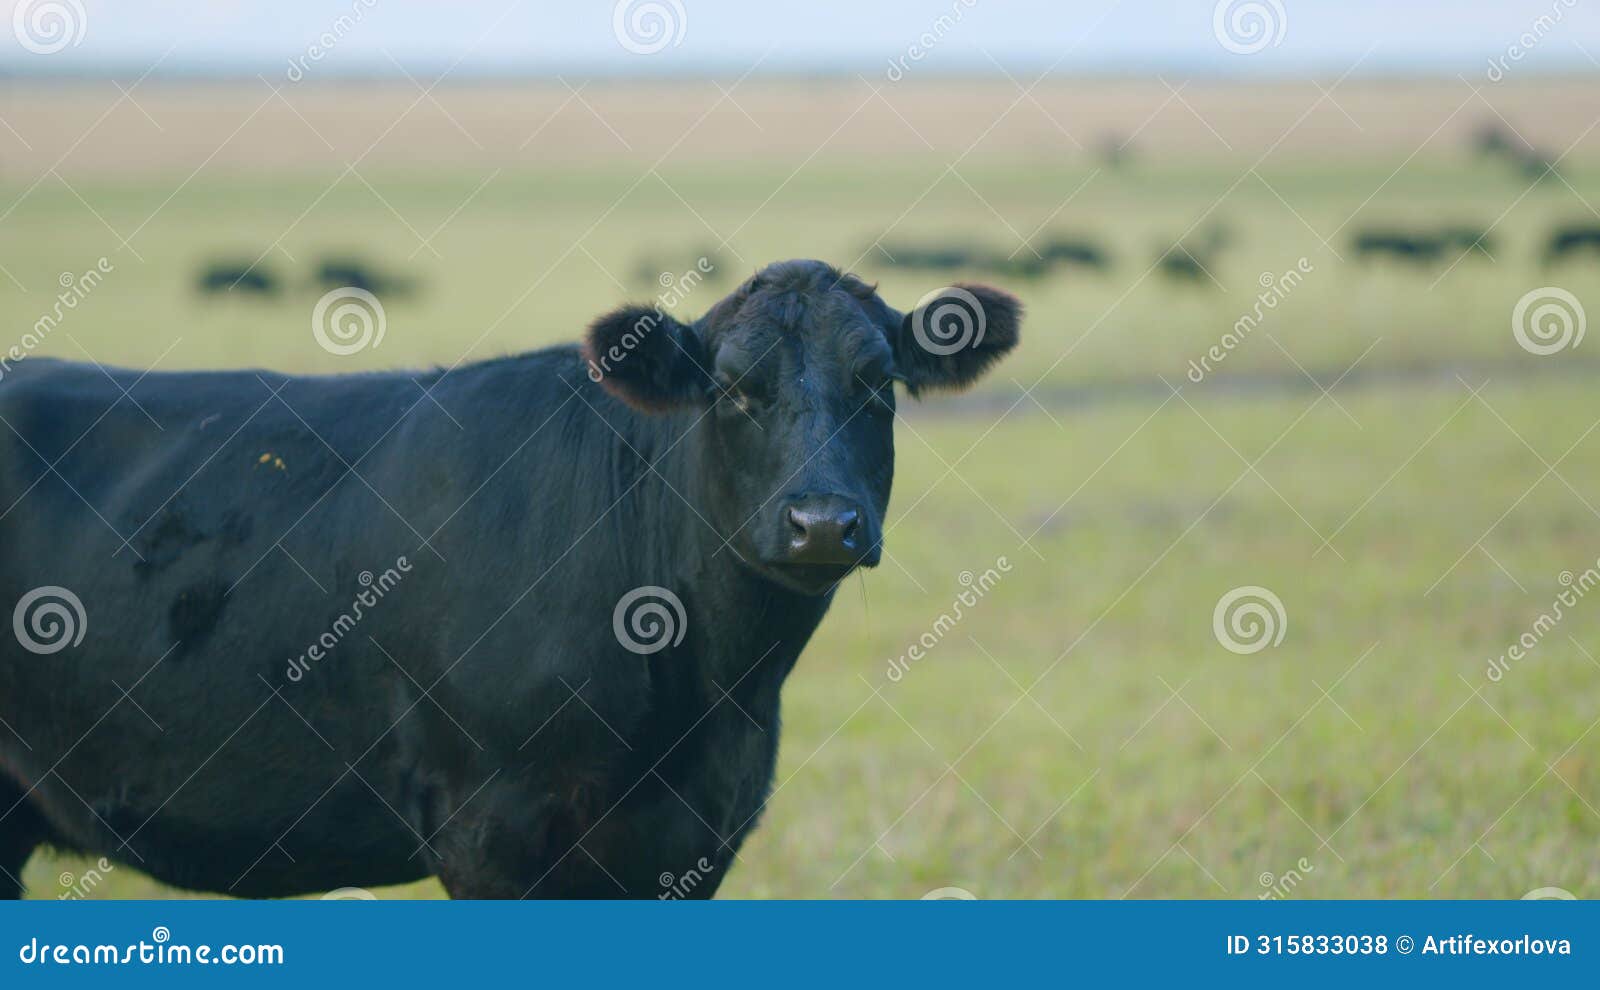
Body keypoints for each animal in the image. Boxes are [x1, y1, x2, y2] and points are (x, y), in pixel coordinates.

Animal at [0, 259, 1020, 899]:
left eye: (878, 385)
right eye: (733, 389)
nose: (821, 524)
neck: (702, 693)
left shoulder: (694, 835)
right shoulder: (488, 826)